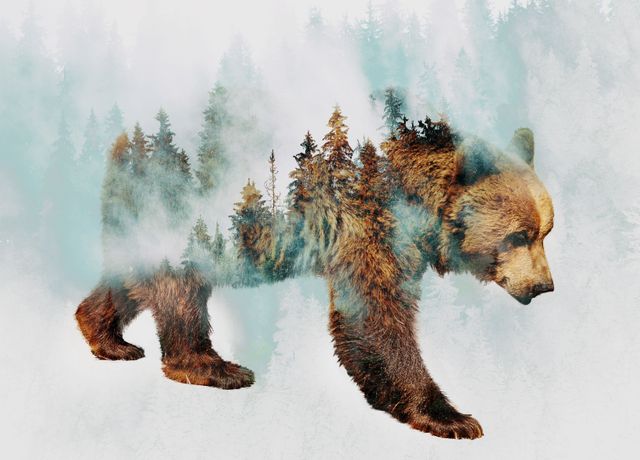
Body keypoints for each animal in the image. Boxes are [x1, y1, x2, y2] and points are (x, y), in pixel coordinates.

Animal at [75, 117, 554, 440]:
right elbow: (373, 318)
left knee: (135, 278)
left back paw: (106, 337)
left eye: (546, 231)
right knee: (179, 289)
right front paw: (451, 417)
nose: (543, 286)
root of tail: (122, 142)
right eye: (518, 235)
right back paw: (213, 366)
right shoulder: (369, 226)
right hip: (181, 212)